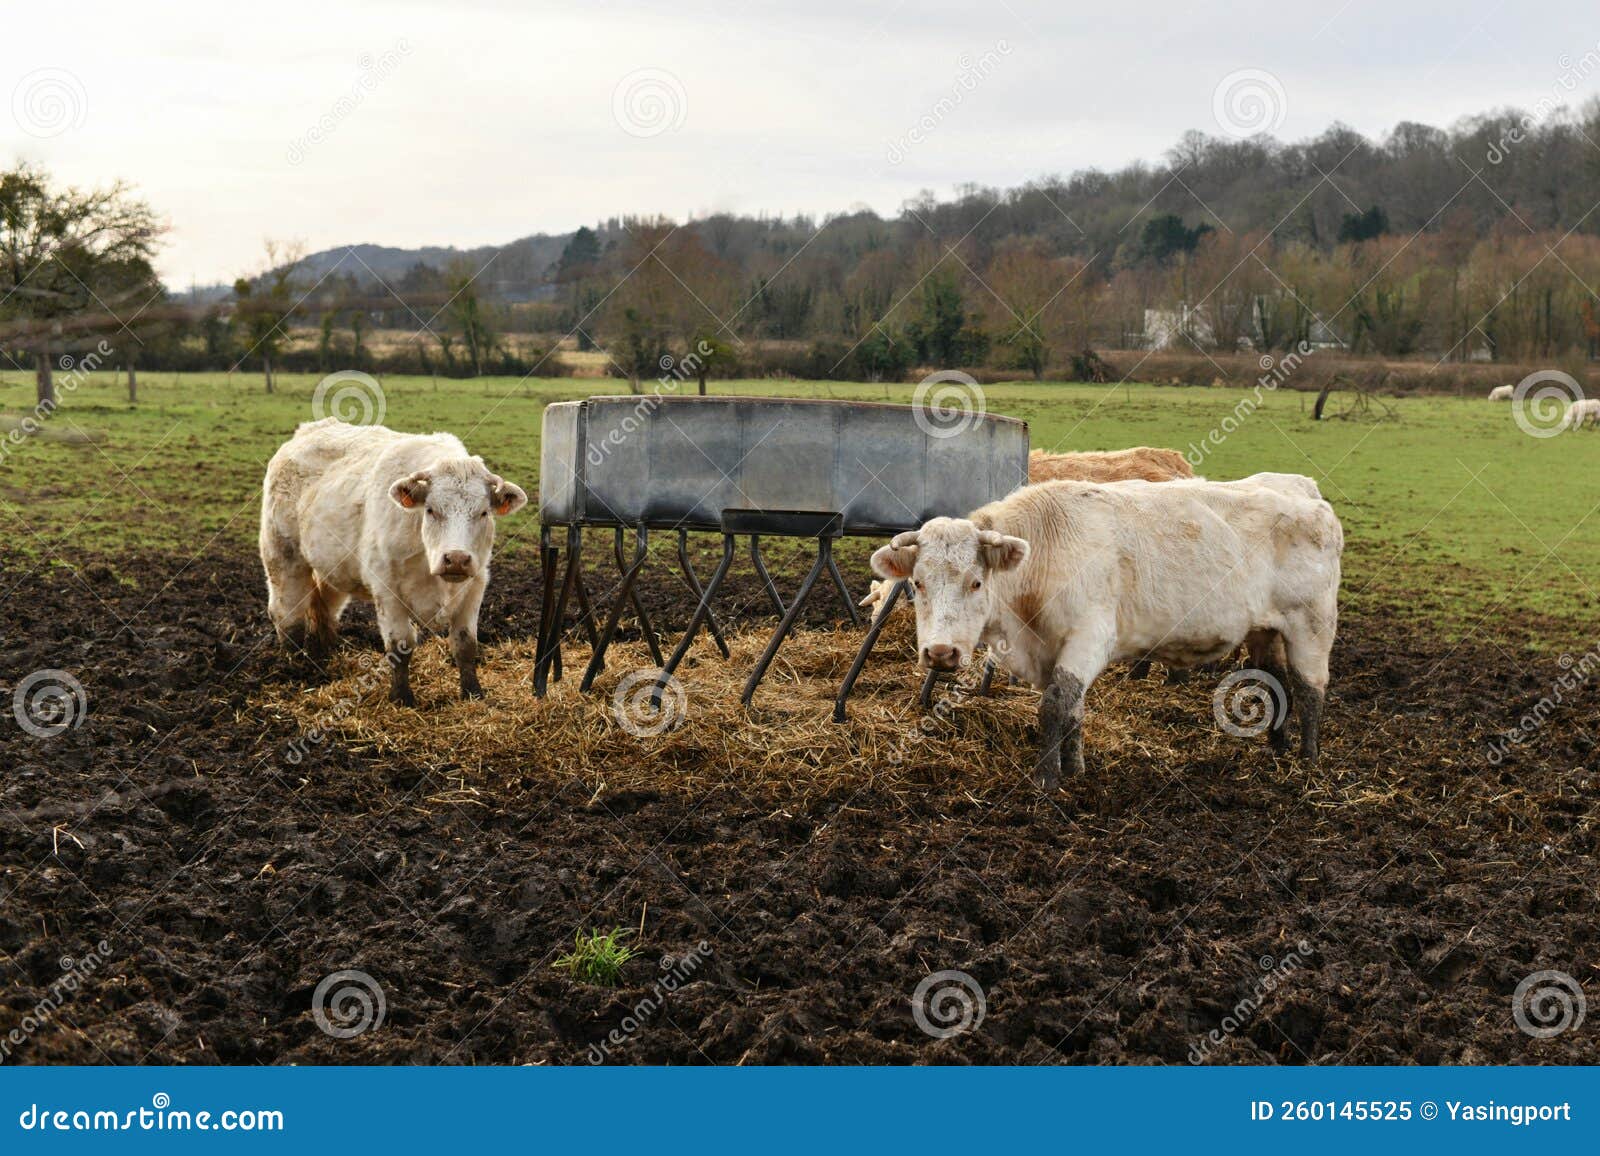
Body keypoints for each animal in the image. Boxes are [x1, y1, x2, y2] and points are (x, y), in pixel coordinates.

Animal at [259, 417, 527, 705]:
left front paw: (473, 693)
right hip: (283, 556)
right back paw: (295, 666)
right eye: (431, 510)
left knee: (324, 610)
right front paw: (401, 697)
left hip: (331, 568)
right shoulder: (386, 590)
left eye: (484, 512)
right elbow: (400, 644)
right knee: (288, 615)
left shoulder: (475, 584)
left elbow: (466, 644)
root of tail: (309, 429)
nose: (456, 558)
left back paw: (324, 654)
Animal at [869, 475, 1343, 789]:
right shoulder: (1055, 649)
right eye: (918, 583)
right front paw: (1075, 768)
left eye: (976, 583)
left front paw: (1046, 779)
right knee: (1275, 680)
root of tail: (1302, 490)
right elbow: (1072, 709)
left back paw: (1308, 758)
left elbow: (1054, 705)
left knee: (1310, 688)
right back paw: (1277, 746)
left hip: (1312, 625)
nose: (941, 653)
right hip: (1266, 629)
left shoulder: (1088, 638)